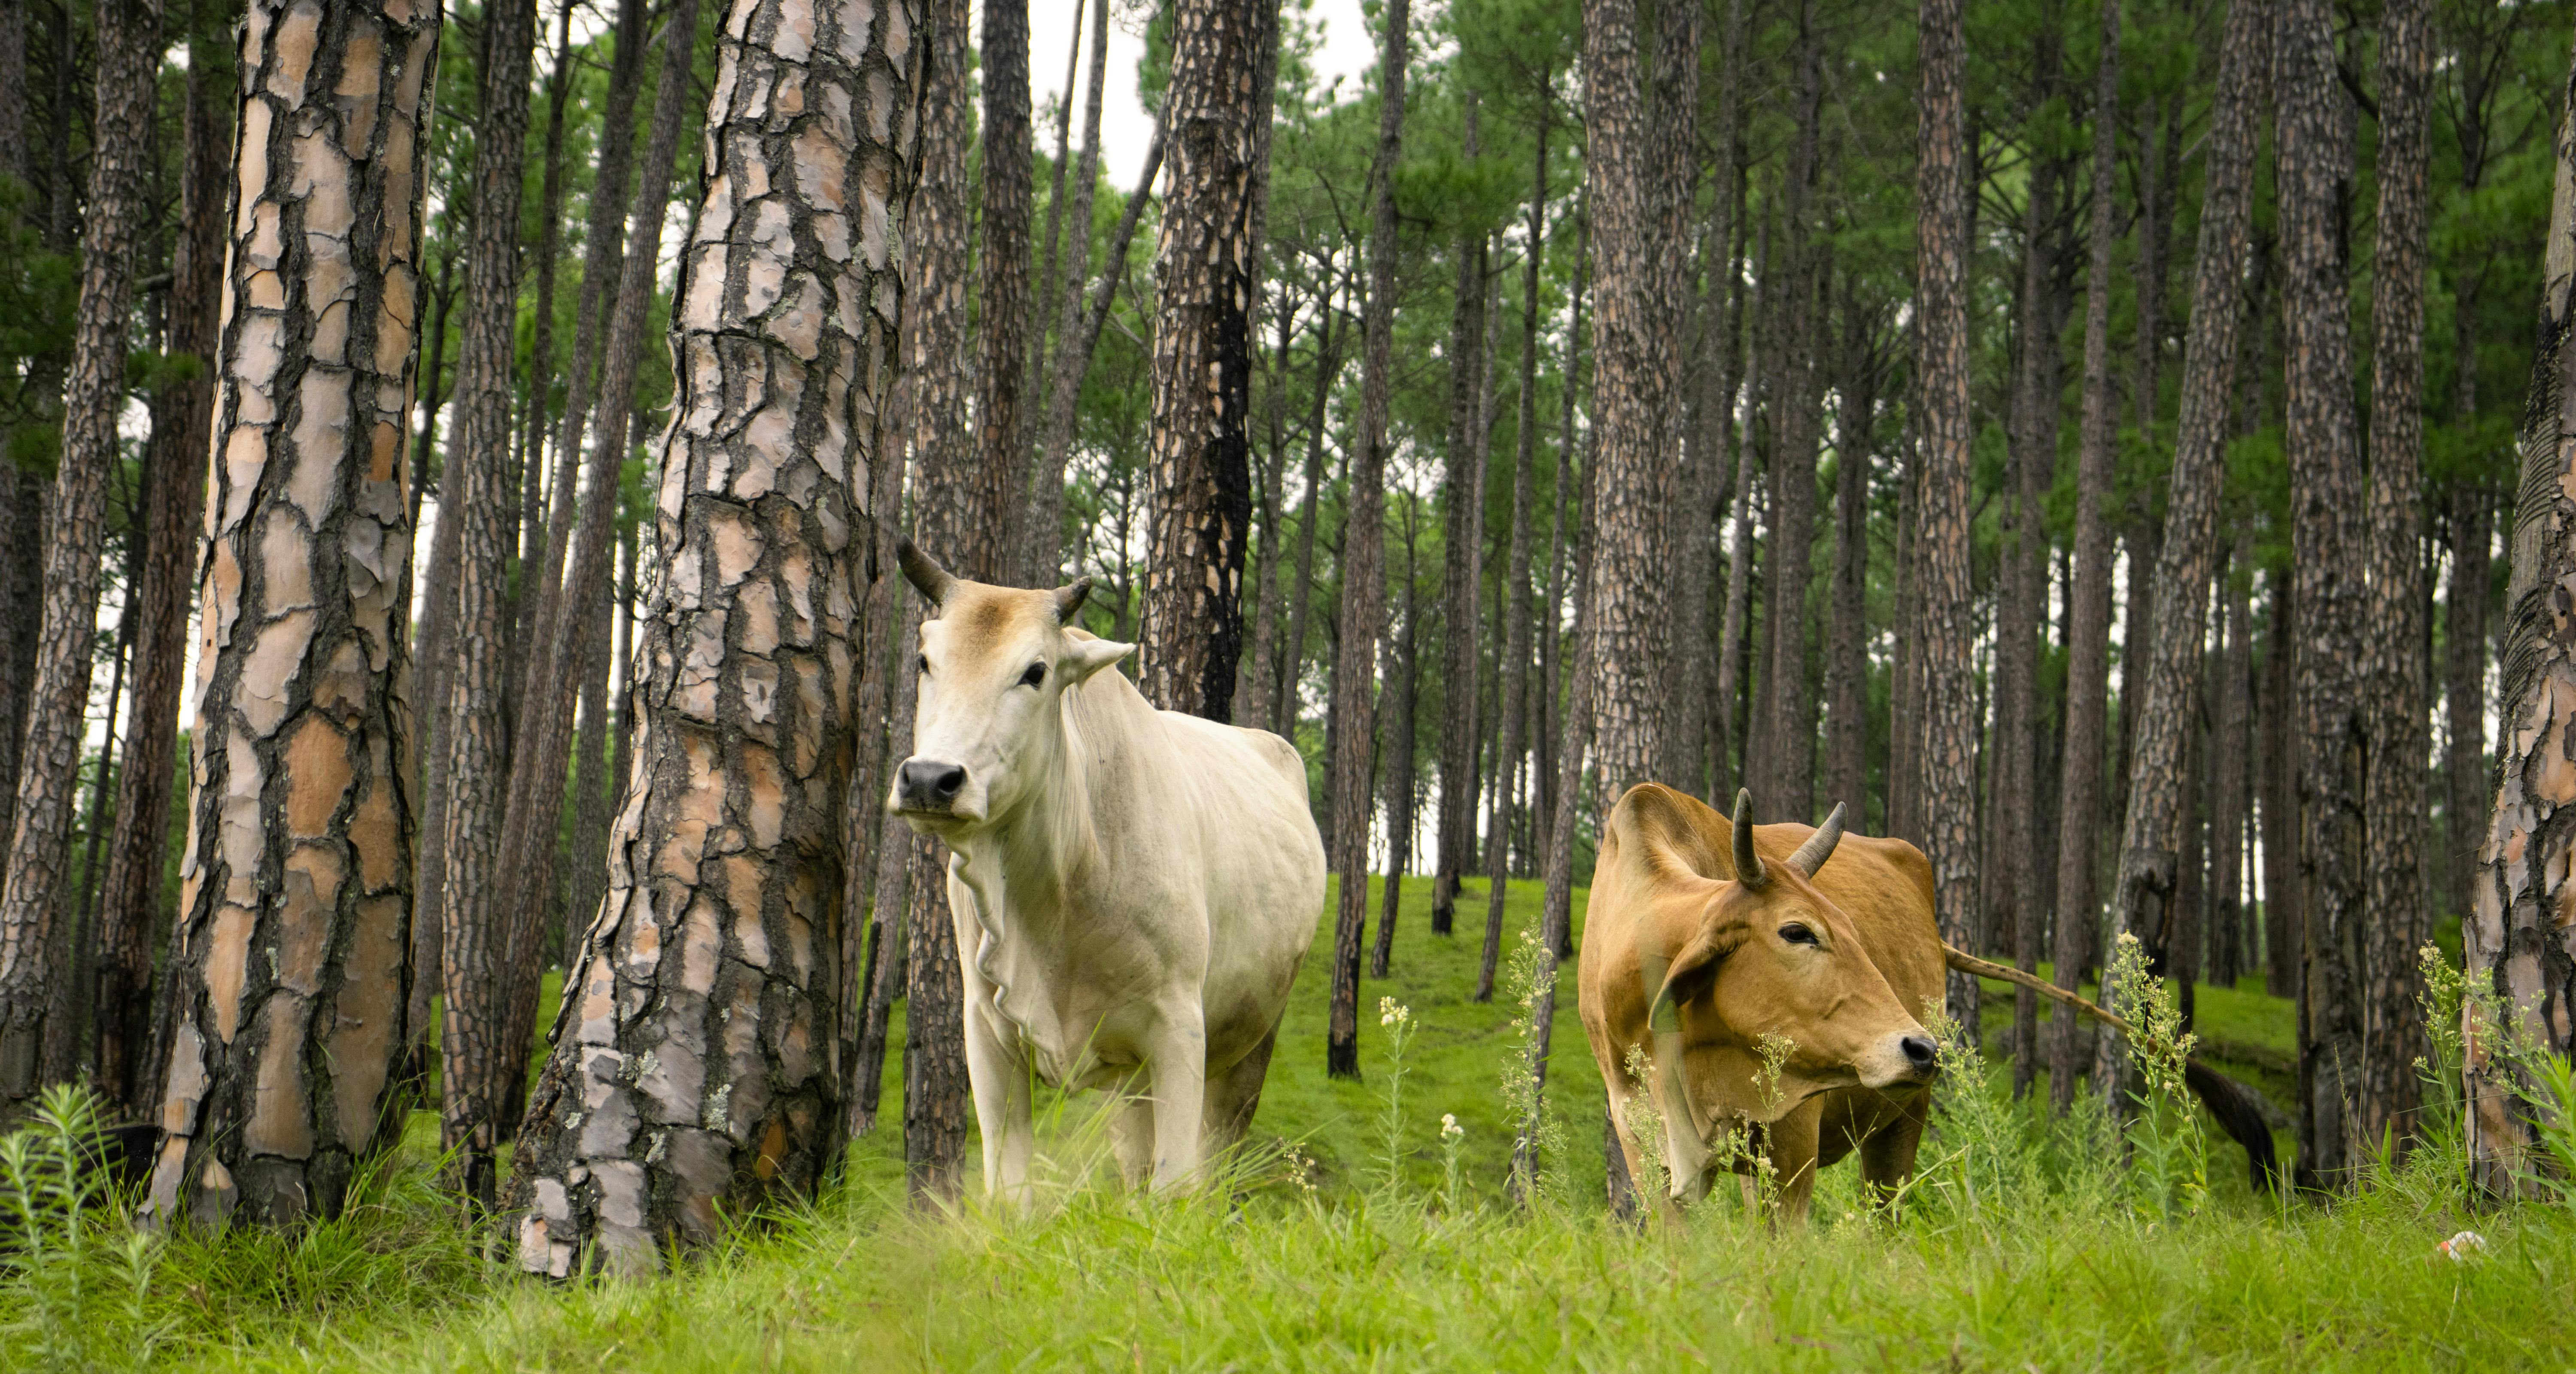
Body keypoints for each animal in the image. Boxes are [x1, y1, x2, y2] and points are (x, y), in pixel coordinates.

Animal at [889, 541, 1326, 1200]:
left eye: (1036, 671)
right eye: (924, 660)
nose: (929, 779)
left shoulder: (1179, 1030)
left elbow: (1174, 1189)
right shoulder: (987, 1035)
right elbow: (1009, 1194)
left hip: (1251, 1047)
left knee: (1213, 1171)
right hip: (1129, 1080)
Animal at [1580, 784, 1943, 1221]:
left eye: (1852, 928)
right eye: (1797, 931)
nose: (1922, 1048)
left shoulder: (1792, 1142)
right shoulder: (1641, 1146)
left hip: (1903, 1122)